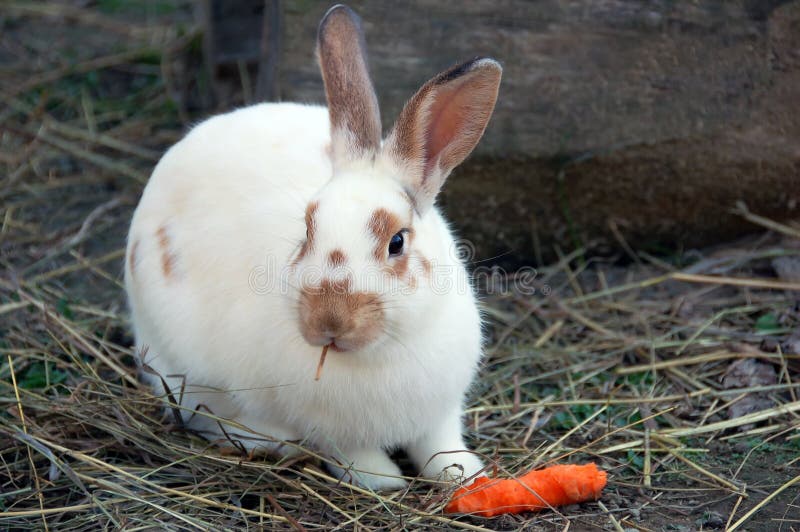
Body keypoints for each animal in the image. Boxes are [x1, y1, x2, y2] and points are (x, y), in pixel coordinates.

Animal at [124, 4, 501, 491]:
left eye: (396, 242)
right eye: (307, 231)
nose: (329, 322)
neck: (381, 353)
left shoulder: (440, 412)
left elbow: (441, 444)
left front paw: (465, 474)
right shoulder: (332, 431)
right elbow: (353, 455)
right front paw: (386, 481)